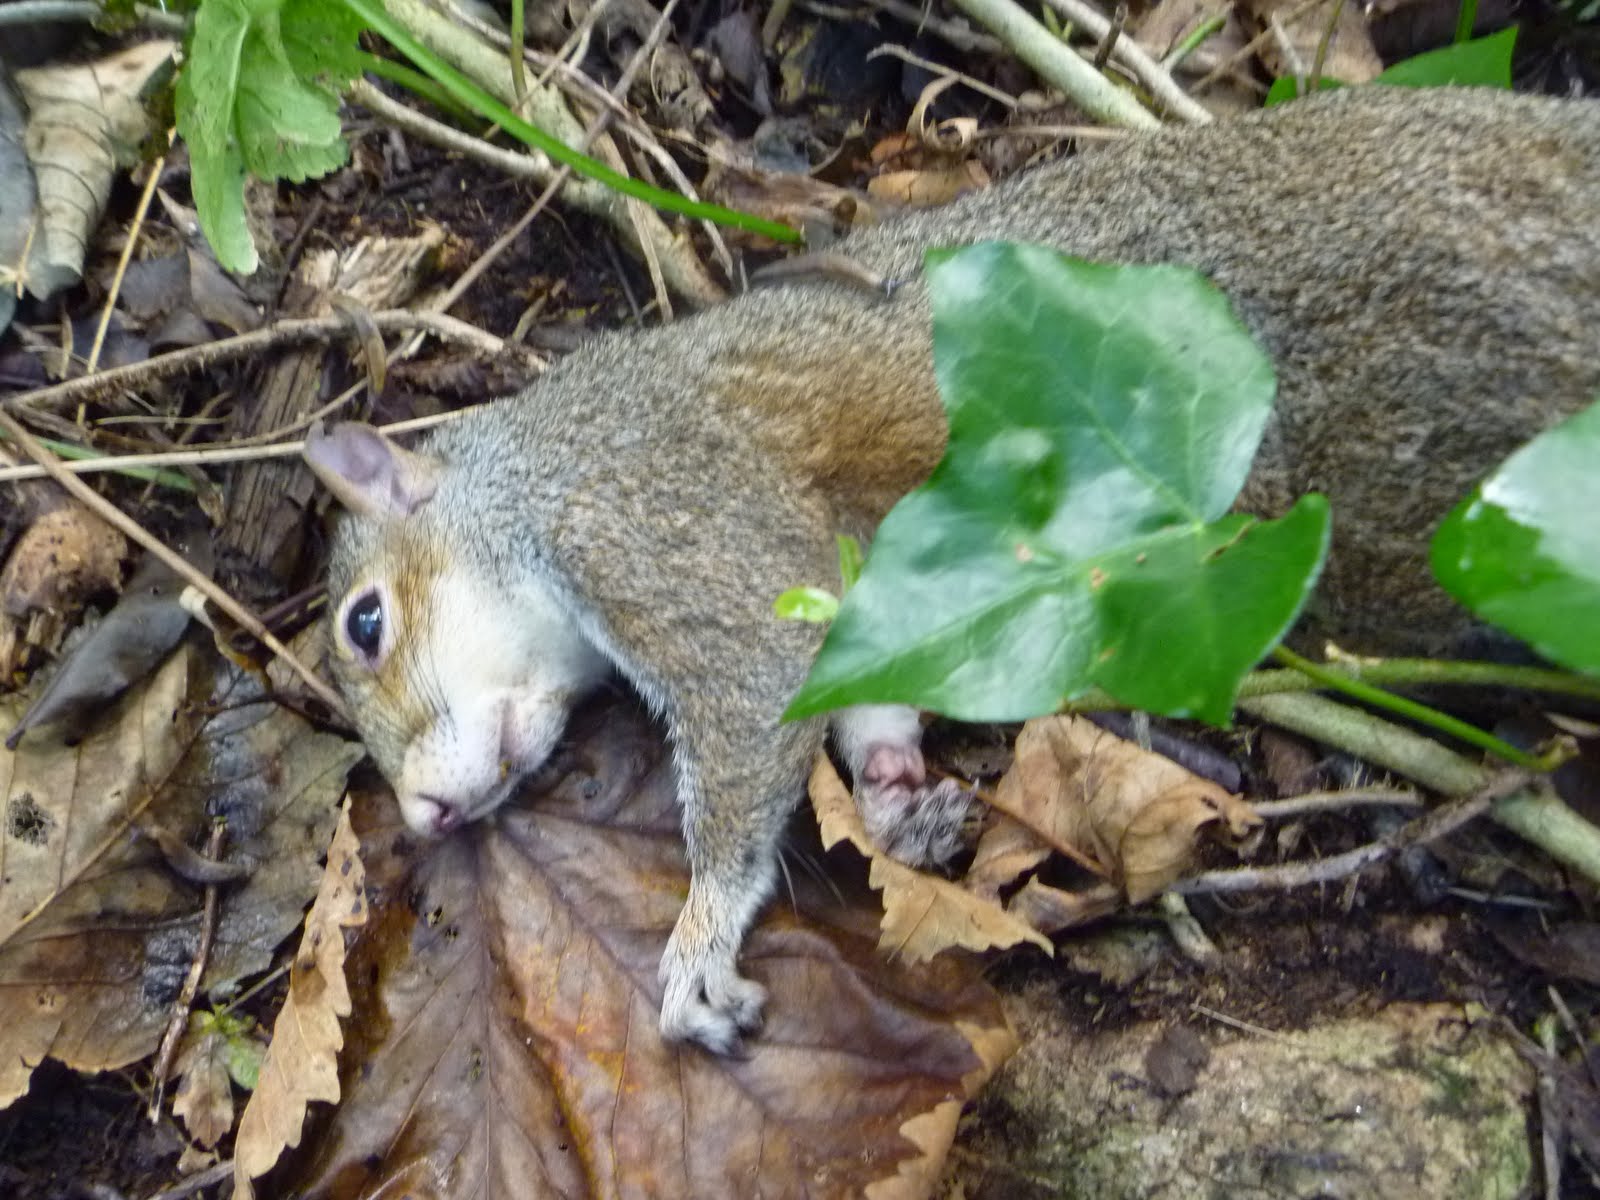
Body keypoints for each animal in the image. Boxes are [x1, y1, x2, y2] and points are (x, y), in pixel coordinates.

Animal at [304, 87, 1600, 1054]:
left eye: (366, 625)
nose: (425, 815)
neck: (534, 484)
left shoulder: (660, 516)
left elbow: (752, 699)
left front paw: (700, 944)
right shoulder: (852, 582)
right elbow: (858, 694)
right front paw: (892, 794)